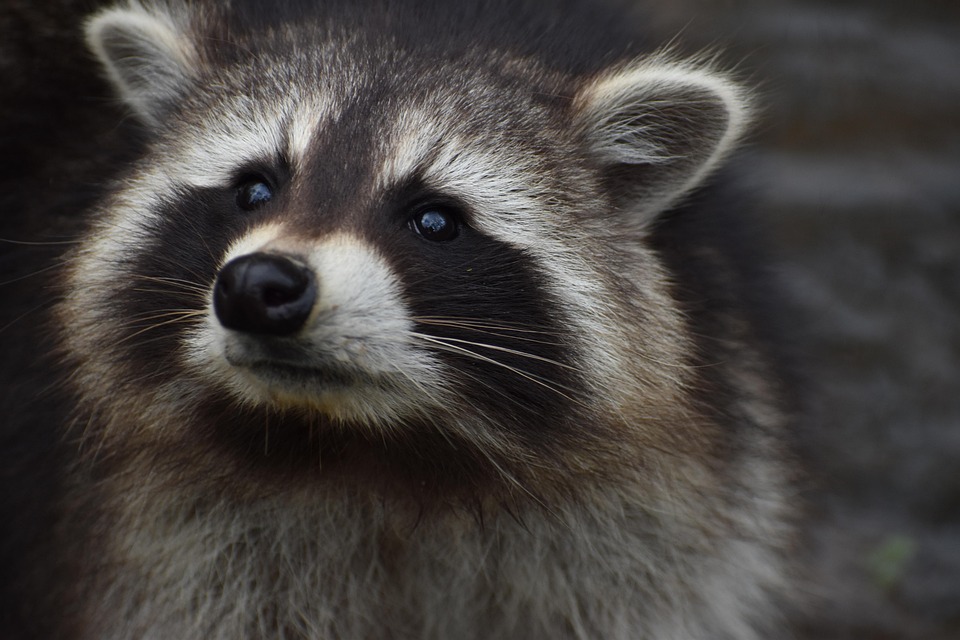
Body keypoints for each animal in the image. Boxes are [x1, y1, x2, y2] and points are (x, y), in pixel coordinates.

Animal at [0, 0, 796, 638]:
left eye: (435, 220)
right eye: (253, 189)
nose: (259, 285)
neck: (373, 454)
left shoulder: (637, 538)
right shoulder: (155, 541)